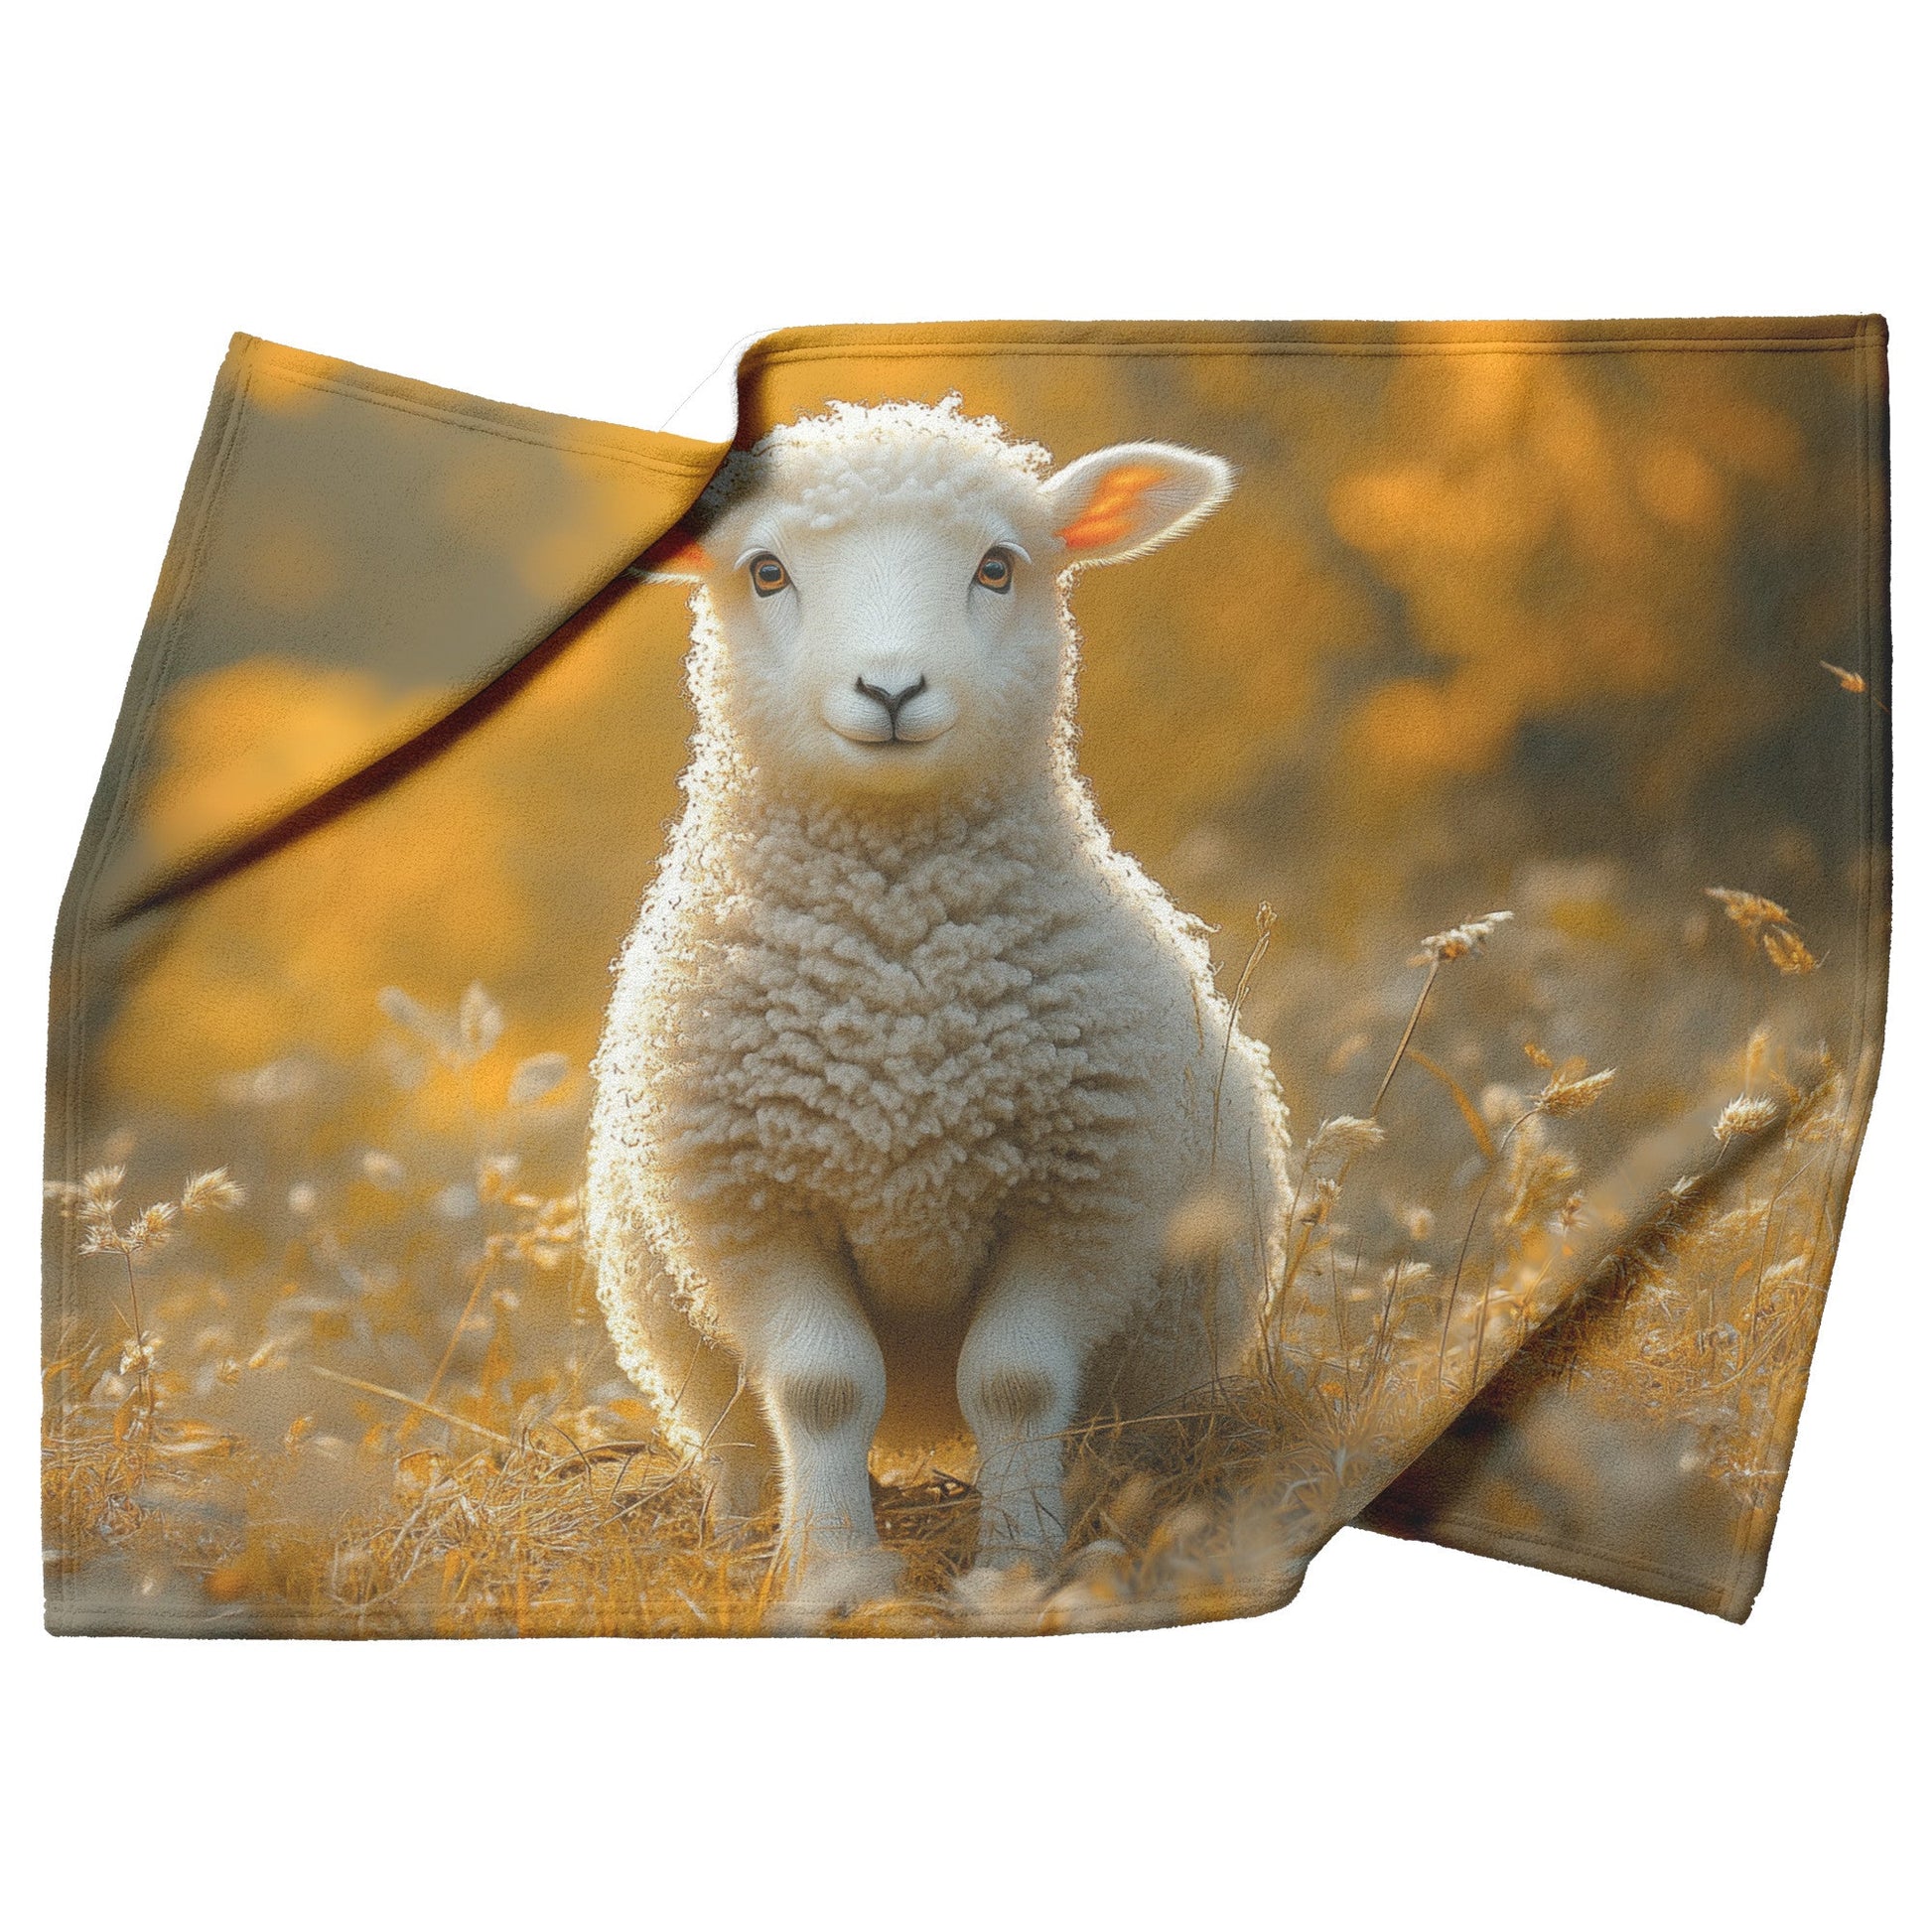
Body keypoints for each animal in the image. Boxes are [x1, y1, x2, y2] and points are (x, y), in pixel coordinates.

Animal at [585, 397, 1290, 1613]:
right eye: (765, 570)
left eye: (996, 567)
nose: (890, 690)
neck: (897, 977)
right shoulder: (749, 1209)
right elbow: (821, 1390)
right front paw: (834, 1577)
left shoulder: (1082, 1198)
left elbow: (1013, 1383)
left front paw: (1015, 1566)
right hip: (682, 1350)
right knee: (743, 1442)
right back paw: (747, 1538)